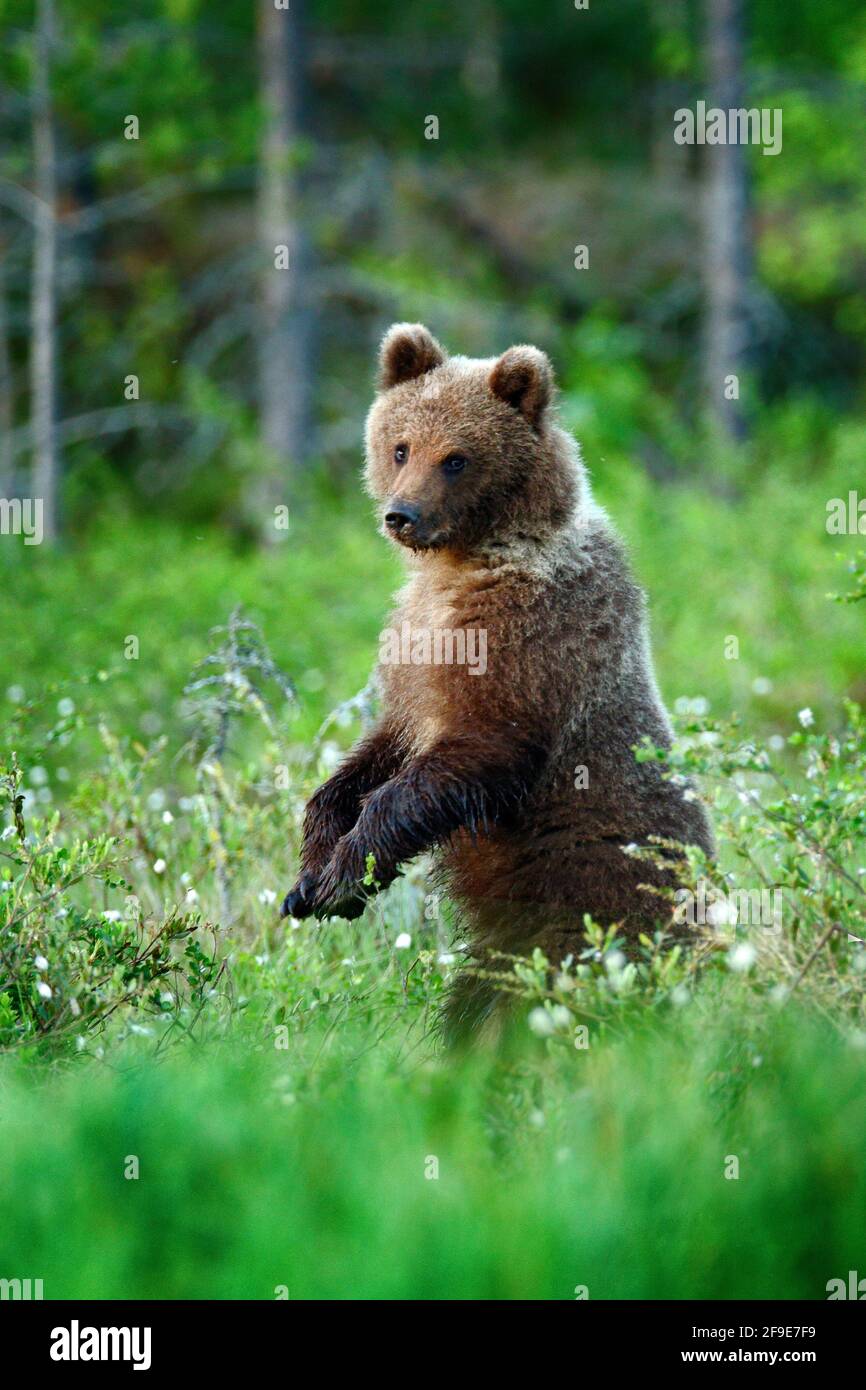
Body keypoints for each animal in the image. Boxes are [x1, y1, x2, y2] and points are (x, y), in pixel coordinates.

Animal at [281, 322, 715, 1038]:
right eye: (400, 446)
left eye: (456, 458)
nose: (401, 515)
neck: (464, 564)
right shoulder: (413, 654)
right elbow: (376, 753)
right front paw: (310, 872)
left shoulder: (527, 645)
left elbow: (473, 754)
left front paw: (350, 871)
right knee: (478, 999)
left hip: (585, 907)